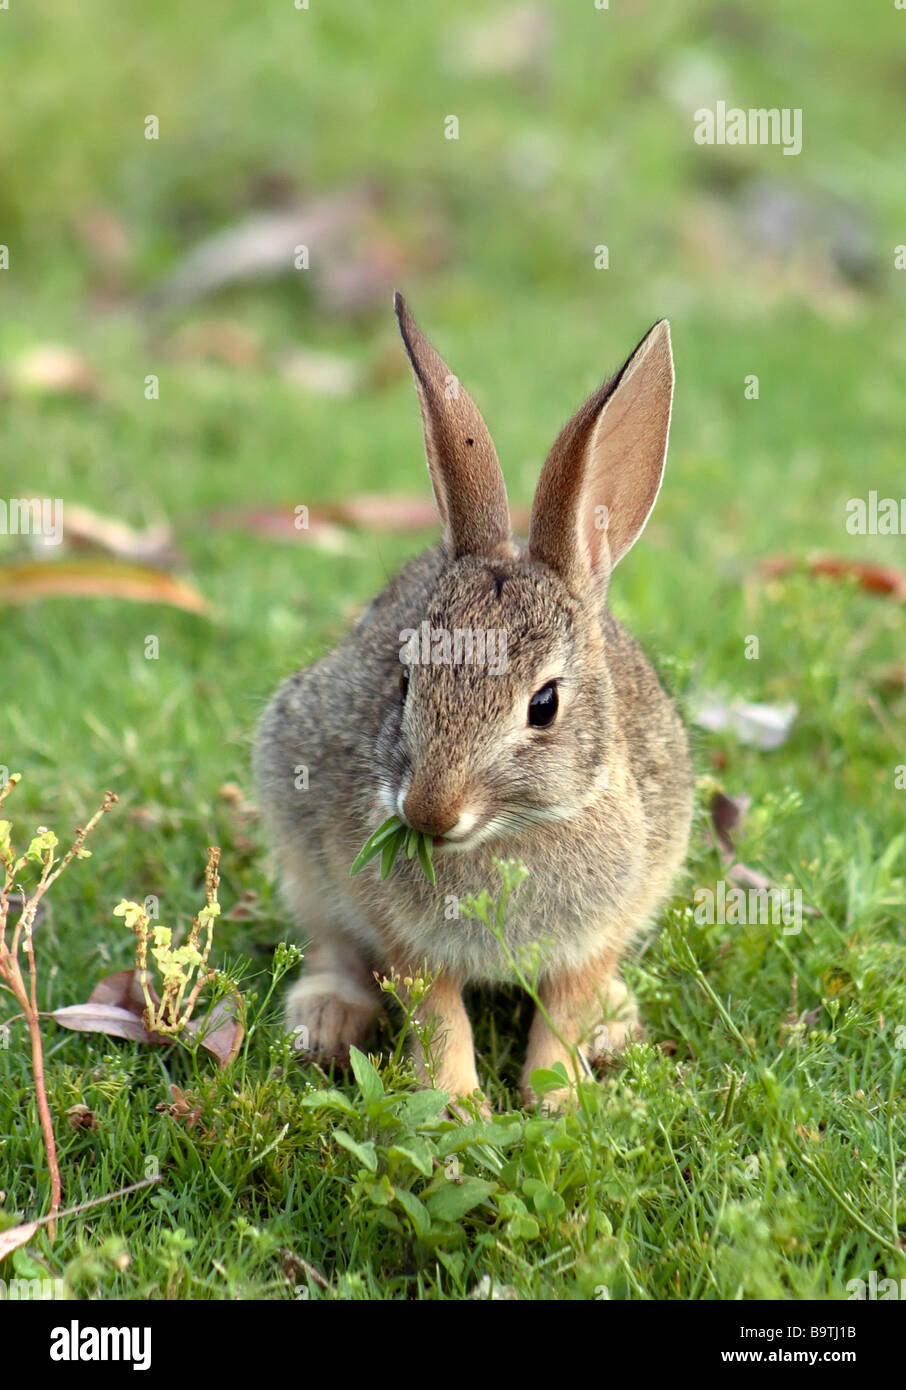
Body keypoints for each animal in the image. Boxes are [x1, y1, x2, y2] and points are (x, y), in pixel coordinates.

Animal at [254, 293, 693, 1108]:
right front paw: (456, 1107)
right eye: (404, 681)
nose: (428, 812)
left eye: (544, 705)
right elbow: (436, 1014)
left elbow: (565, 1008)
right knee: (332, 943)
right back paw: (326, 1019)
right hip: (300, 845)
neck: (509, 833)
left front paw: (556, 1100)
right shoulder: (404, 934)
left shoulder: (598, 930)